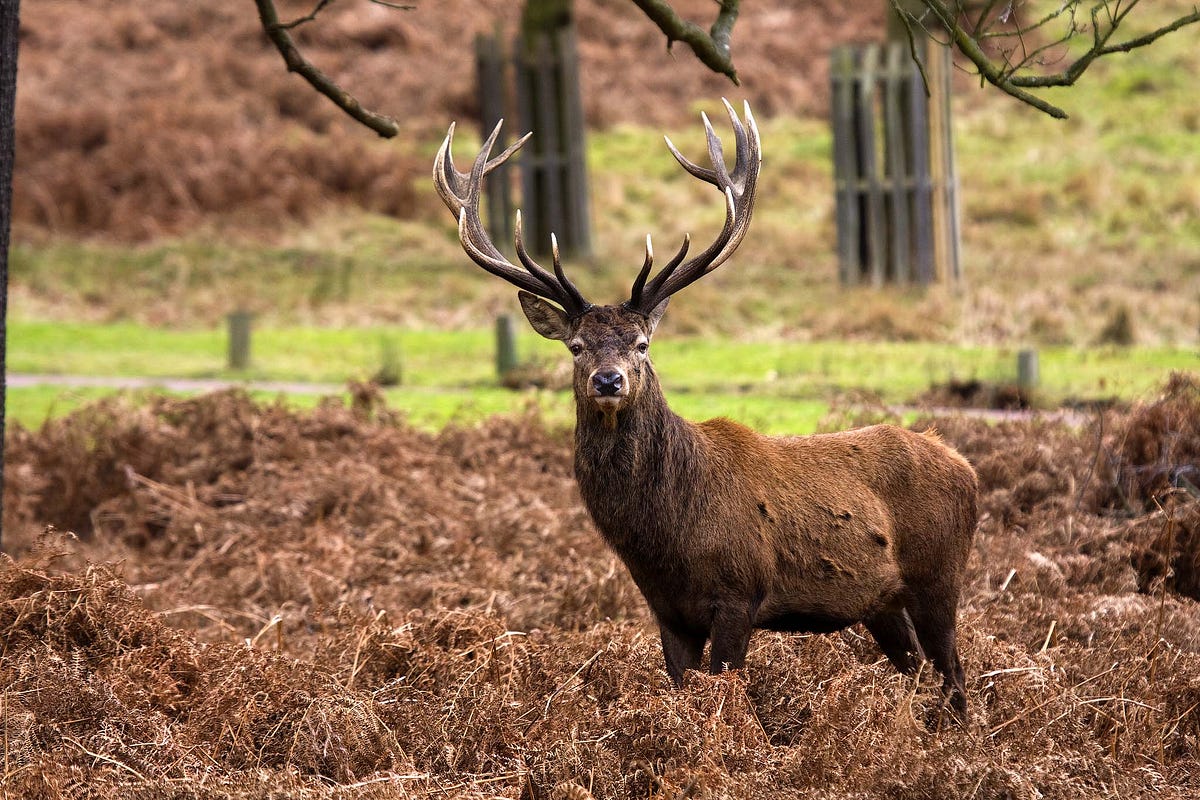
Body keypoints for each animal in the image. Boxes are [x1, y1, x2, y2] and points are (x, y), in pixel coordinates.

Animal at [433, 101, 979, 714]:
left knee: (954, 675)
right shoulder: (668, 611)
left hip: (939, 576)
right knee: (919, 672)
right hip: (880, 602)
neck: (665, 537)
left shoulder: (739, 593)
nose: (607, 379)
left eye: (641, 343)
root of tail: (965, 465)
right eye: (575, 346)